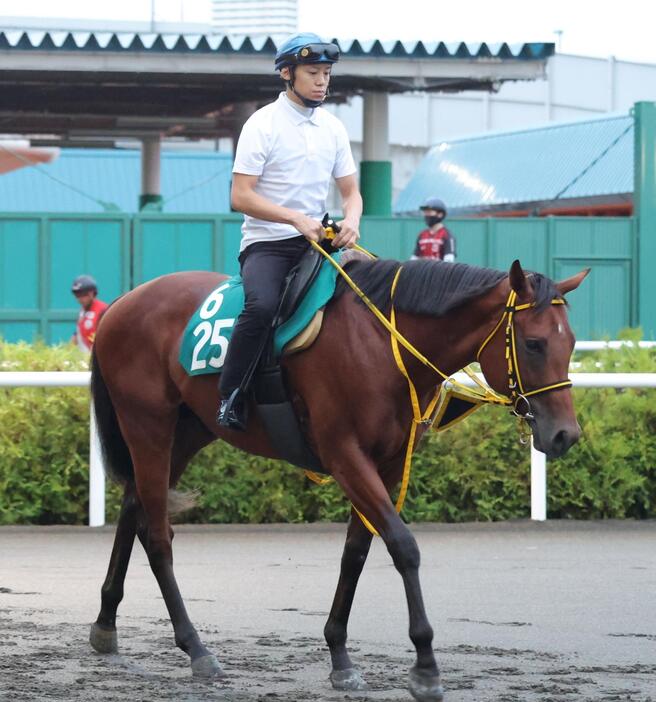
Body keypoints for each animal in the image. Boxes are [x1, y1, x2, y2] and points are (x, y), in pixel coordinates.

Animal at [88, 254, 587, 702]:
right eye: (534, 344)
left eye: (572, 344)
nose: (565, 435)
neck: (384, 345)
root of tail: (121, 303)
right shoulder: (346, 455)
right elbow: (403, 546)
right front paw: (425, 666)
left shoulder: (386, 463)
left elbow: (357, 552)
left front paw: (340, 656)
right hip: (148, 423)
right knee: (158, 535)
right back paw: (195, 648)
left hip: (188, 430)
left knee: (134, 506)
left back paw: (105, 622)